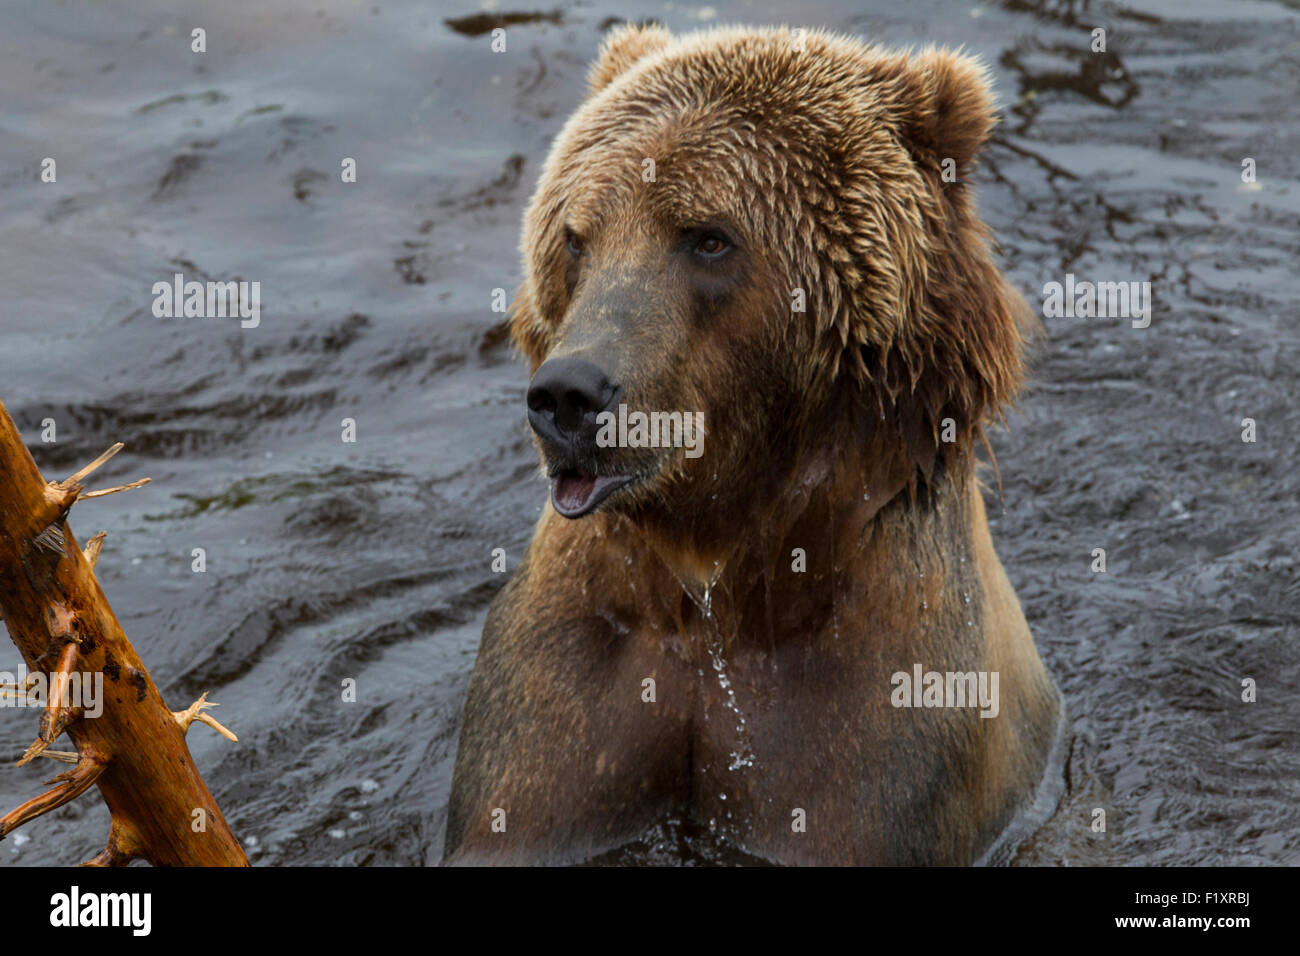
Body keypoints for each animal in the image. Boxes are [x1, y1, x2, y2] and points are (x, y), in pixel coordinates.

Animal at [445, 23, 1063, 866]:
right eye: (575, 237)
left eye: (709, 238)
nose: (569, 394)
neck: (716, 594)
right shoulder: (562, 695)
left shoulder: (881, 720)